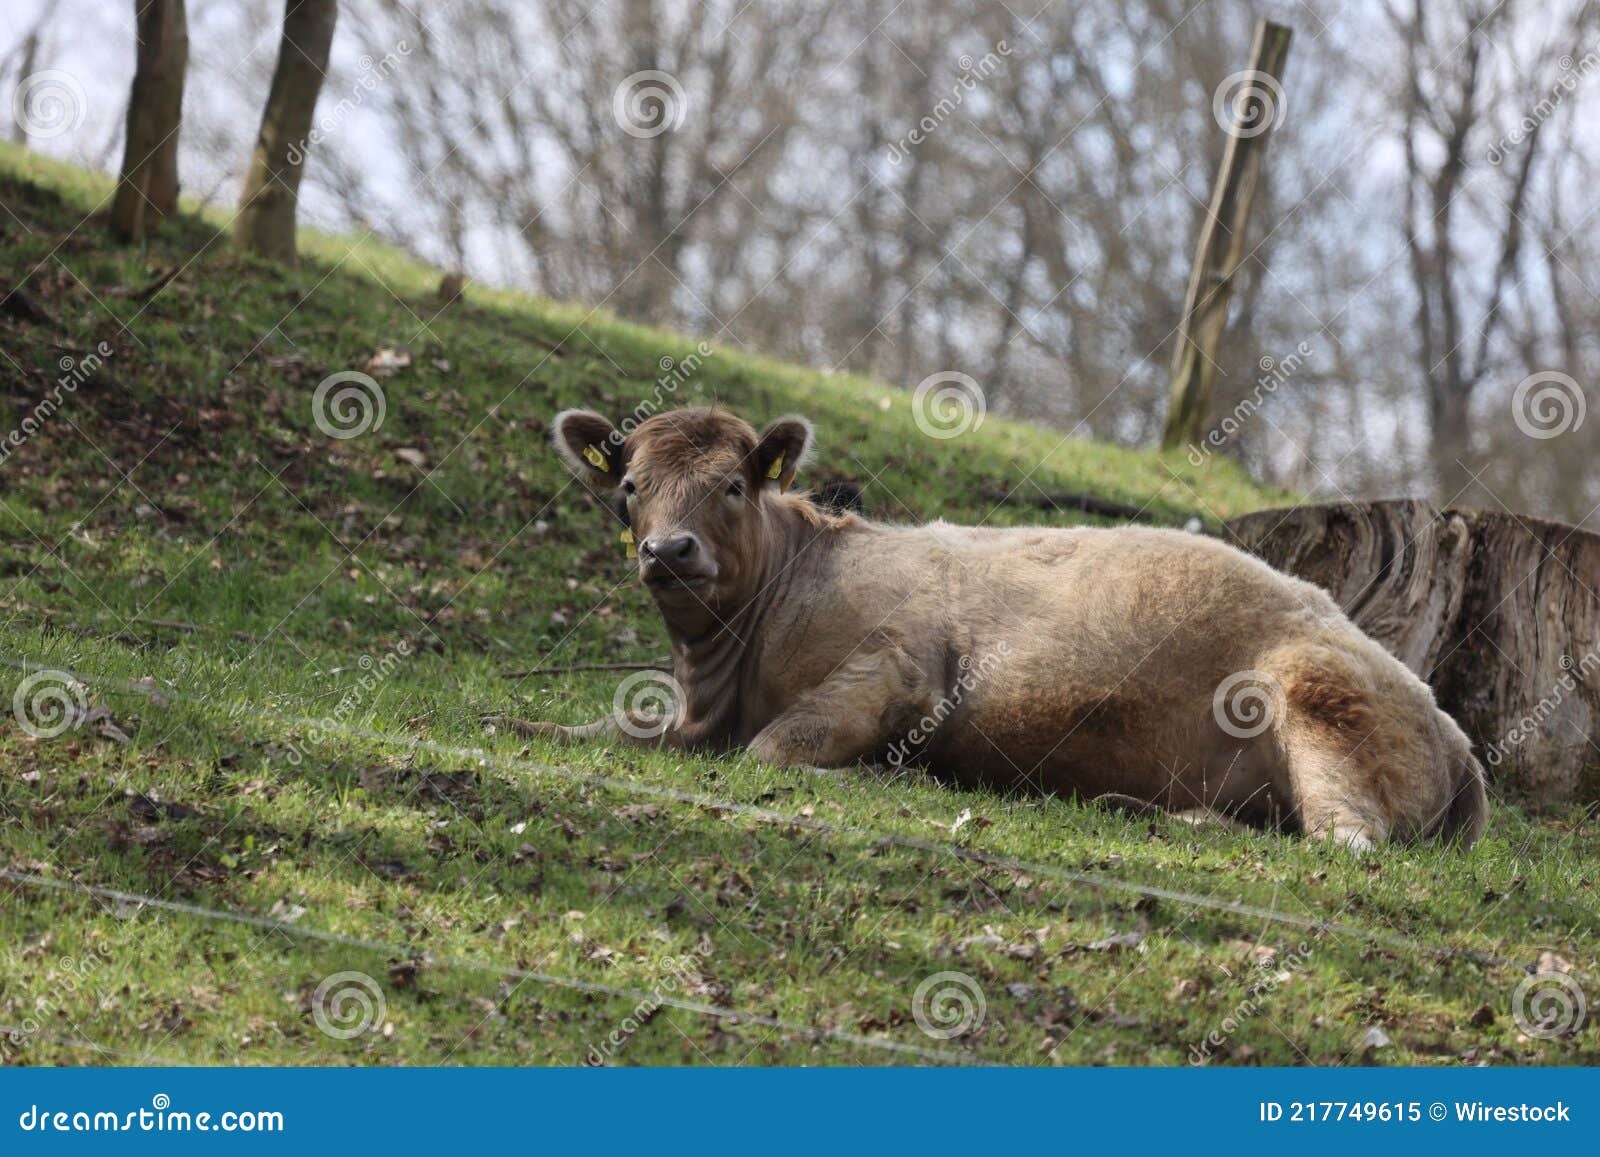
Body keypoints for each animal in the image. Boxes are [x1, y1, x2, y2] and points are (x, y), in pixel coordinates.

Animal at [506, 406, 1488, 850]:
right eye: (630, 488)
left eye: (733, 486)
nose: (667, 549)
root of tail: (1448, 724)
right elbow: (599, 725)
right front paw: (522, 721)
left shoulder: (903, 669)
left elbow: (774, 750)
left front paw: (881, 775)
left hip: (1318, 699)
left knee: (1343, 840)